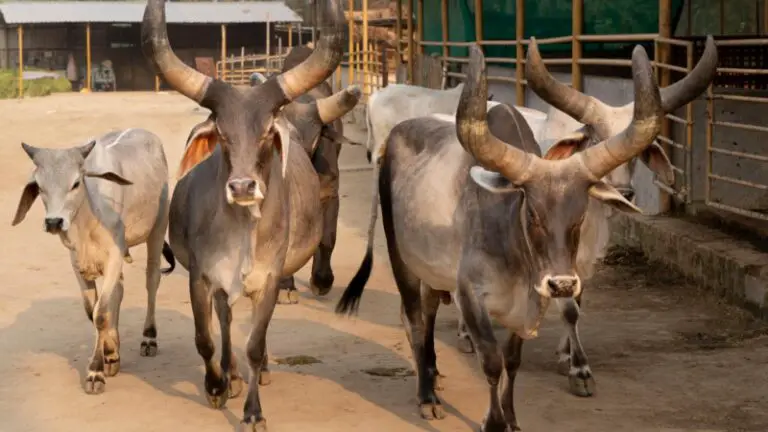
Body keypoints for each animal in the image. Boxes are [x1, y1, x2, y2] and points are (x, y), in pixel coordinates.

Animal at [11, 128, 175, 394]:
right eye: (40, 186)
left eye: (76, 183)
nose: (54, 222)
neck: (88, 217)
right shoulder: (78, 263)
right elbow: (94, 311)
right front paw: (110, 353)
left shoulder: (114, 257)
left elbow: (100, 314)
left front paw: (95, 372)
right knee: (119, 291)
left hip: (158, 229)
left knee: (152, 280)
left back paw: (149, 337)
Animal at [141, 0, 355, 429]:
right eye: (221, 135)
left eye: (267, 132)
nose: (241, 188)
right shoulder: (202, 279)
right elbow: (205, 338)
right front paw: (217, 386)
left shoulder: (269, 278)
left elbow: (254, 345)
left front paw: (254, 411)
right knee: (223, 322)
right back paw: (231, 375)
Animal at [336, 43, 664, 430]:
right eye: (532, 212)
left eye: (580, 214)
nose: (563, 285)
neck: (514, 248)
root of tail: (391, 140)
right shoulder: (470, 294)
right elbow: (491, 361)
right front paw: (493, 421)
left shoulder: (527, 303)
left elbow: (512, 360)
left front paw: (511, 417)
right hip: (401, 257)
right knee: (414, 320)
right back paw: (426, 395)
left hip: (433, 269)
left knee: (427, 313)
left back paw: (432, 372)